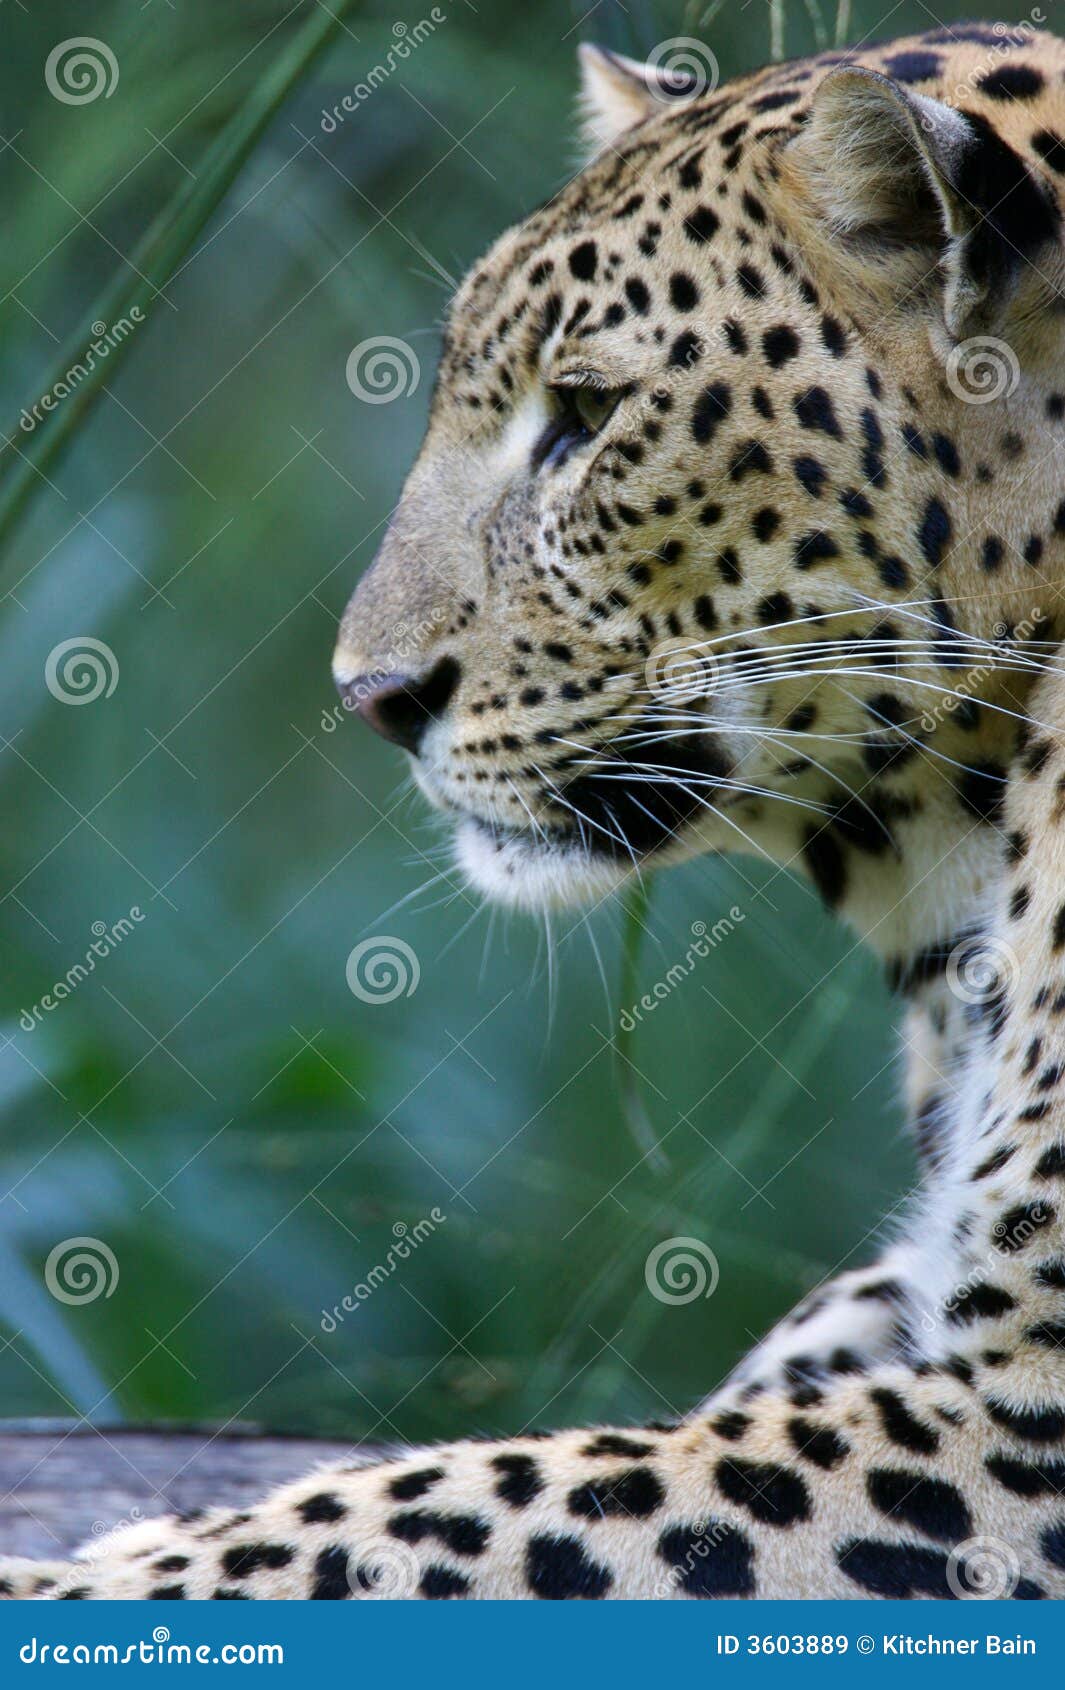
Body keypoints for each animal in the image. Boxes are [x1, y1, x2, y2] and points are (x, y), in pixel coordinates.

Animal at [6, 20, 1065, 1600]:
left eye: (586, 415)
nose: (371, 694)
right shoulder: (918, 1292)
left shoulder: (1016, 1428)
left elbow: (471, 1498)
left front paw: (88, 1579)